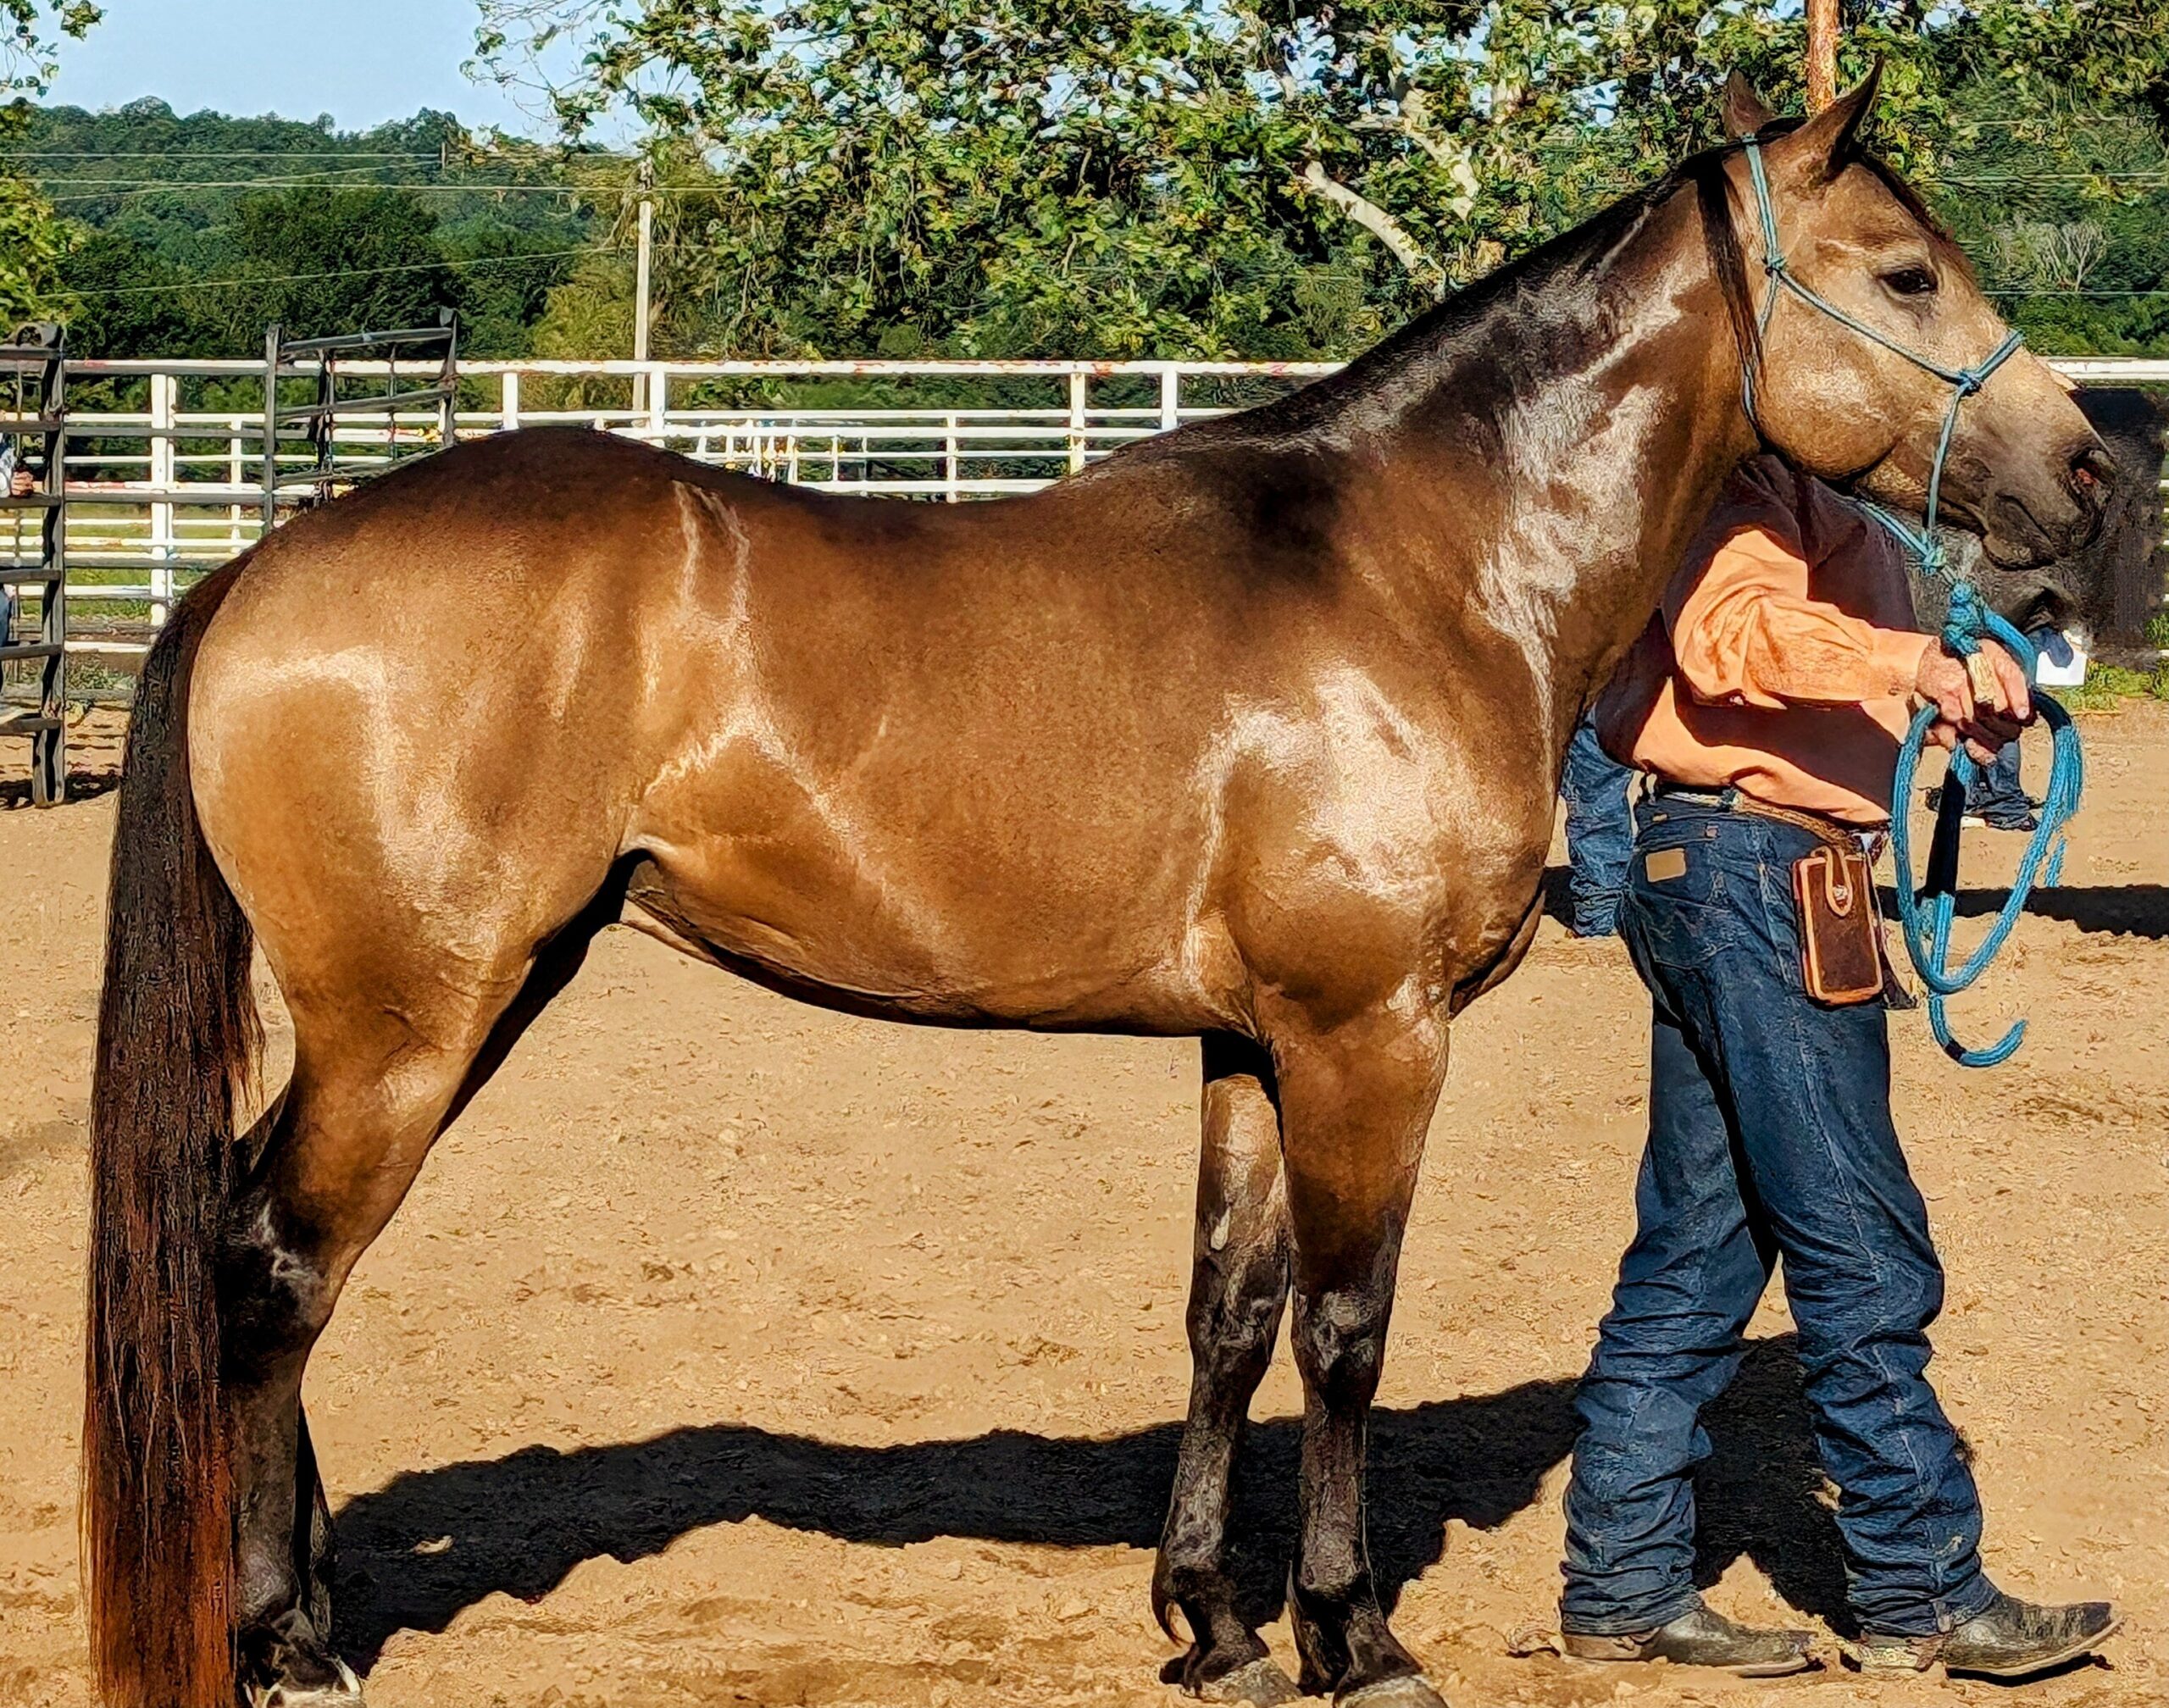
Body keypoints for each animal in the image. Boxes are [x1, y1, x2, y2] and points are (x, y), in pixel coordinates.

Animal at [84, 69, 2108, 1708]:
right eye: (1903, 275)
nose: (2086, 471)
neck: (1419, 568)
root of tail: (262, 565)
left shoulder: (1251, 1043)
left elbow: (1226, 1315)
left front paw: (1209, 1624)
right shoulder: (1369, 1038)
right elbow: (1347, 1333)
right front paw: (1350, 1637)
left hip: (467, 997)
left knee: (256, 1242)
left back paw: (305, 1598)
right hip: (409, 1019)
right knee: (275, 1267)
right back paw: (282, 1642)